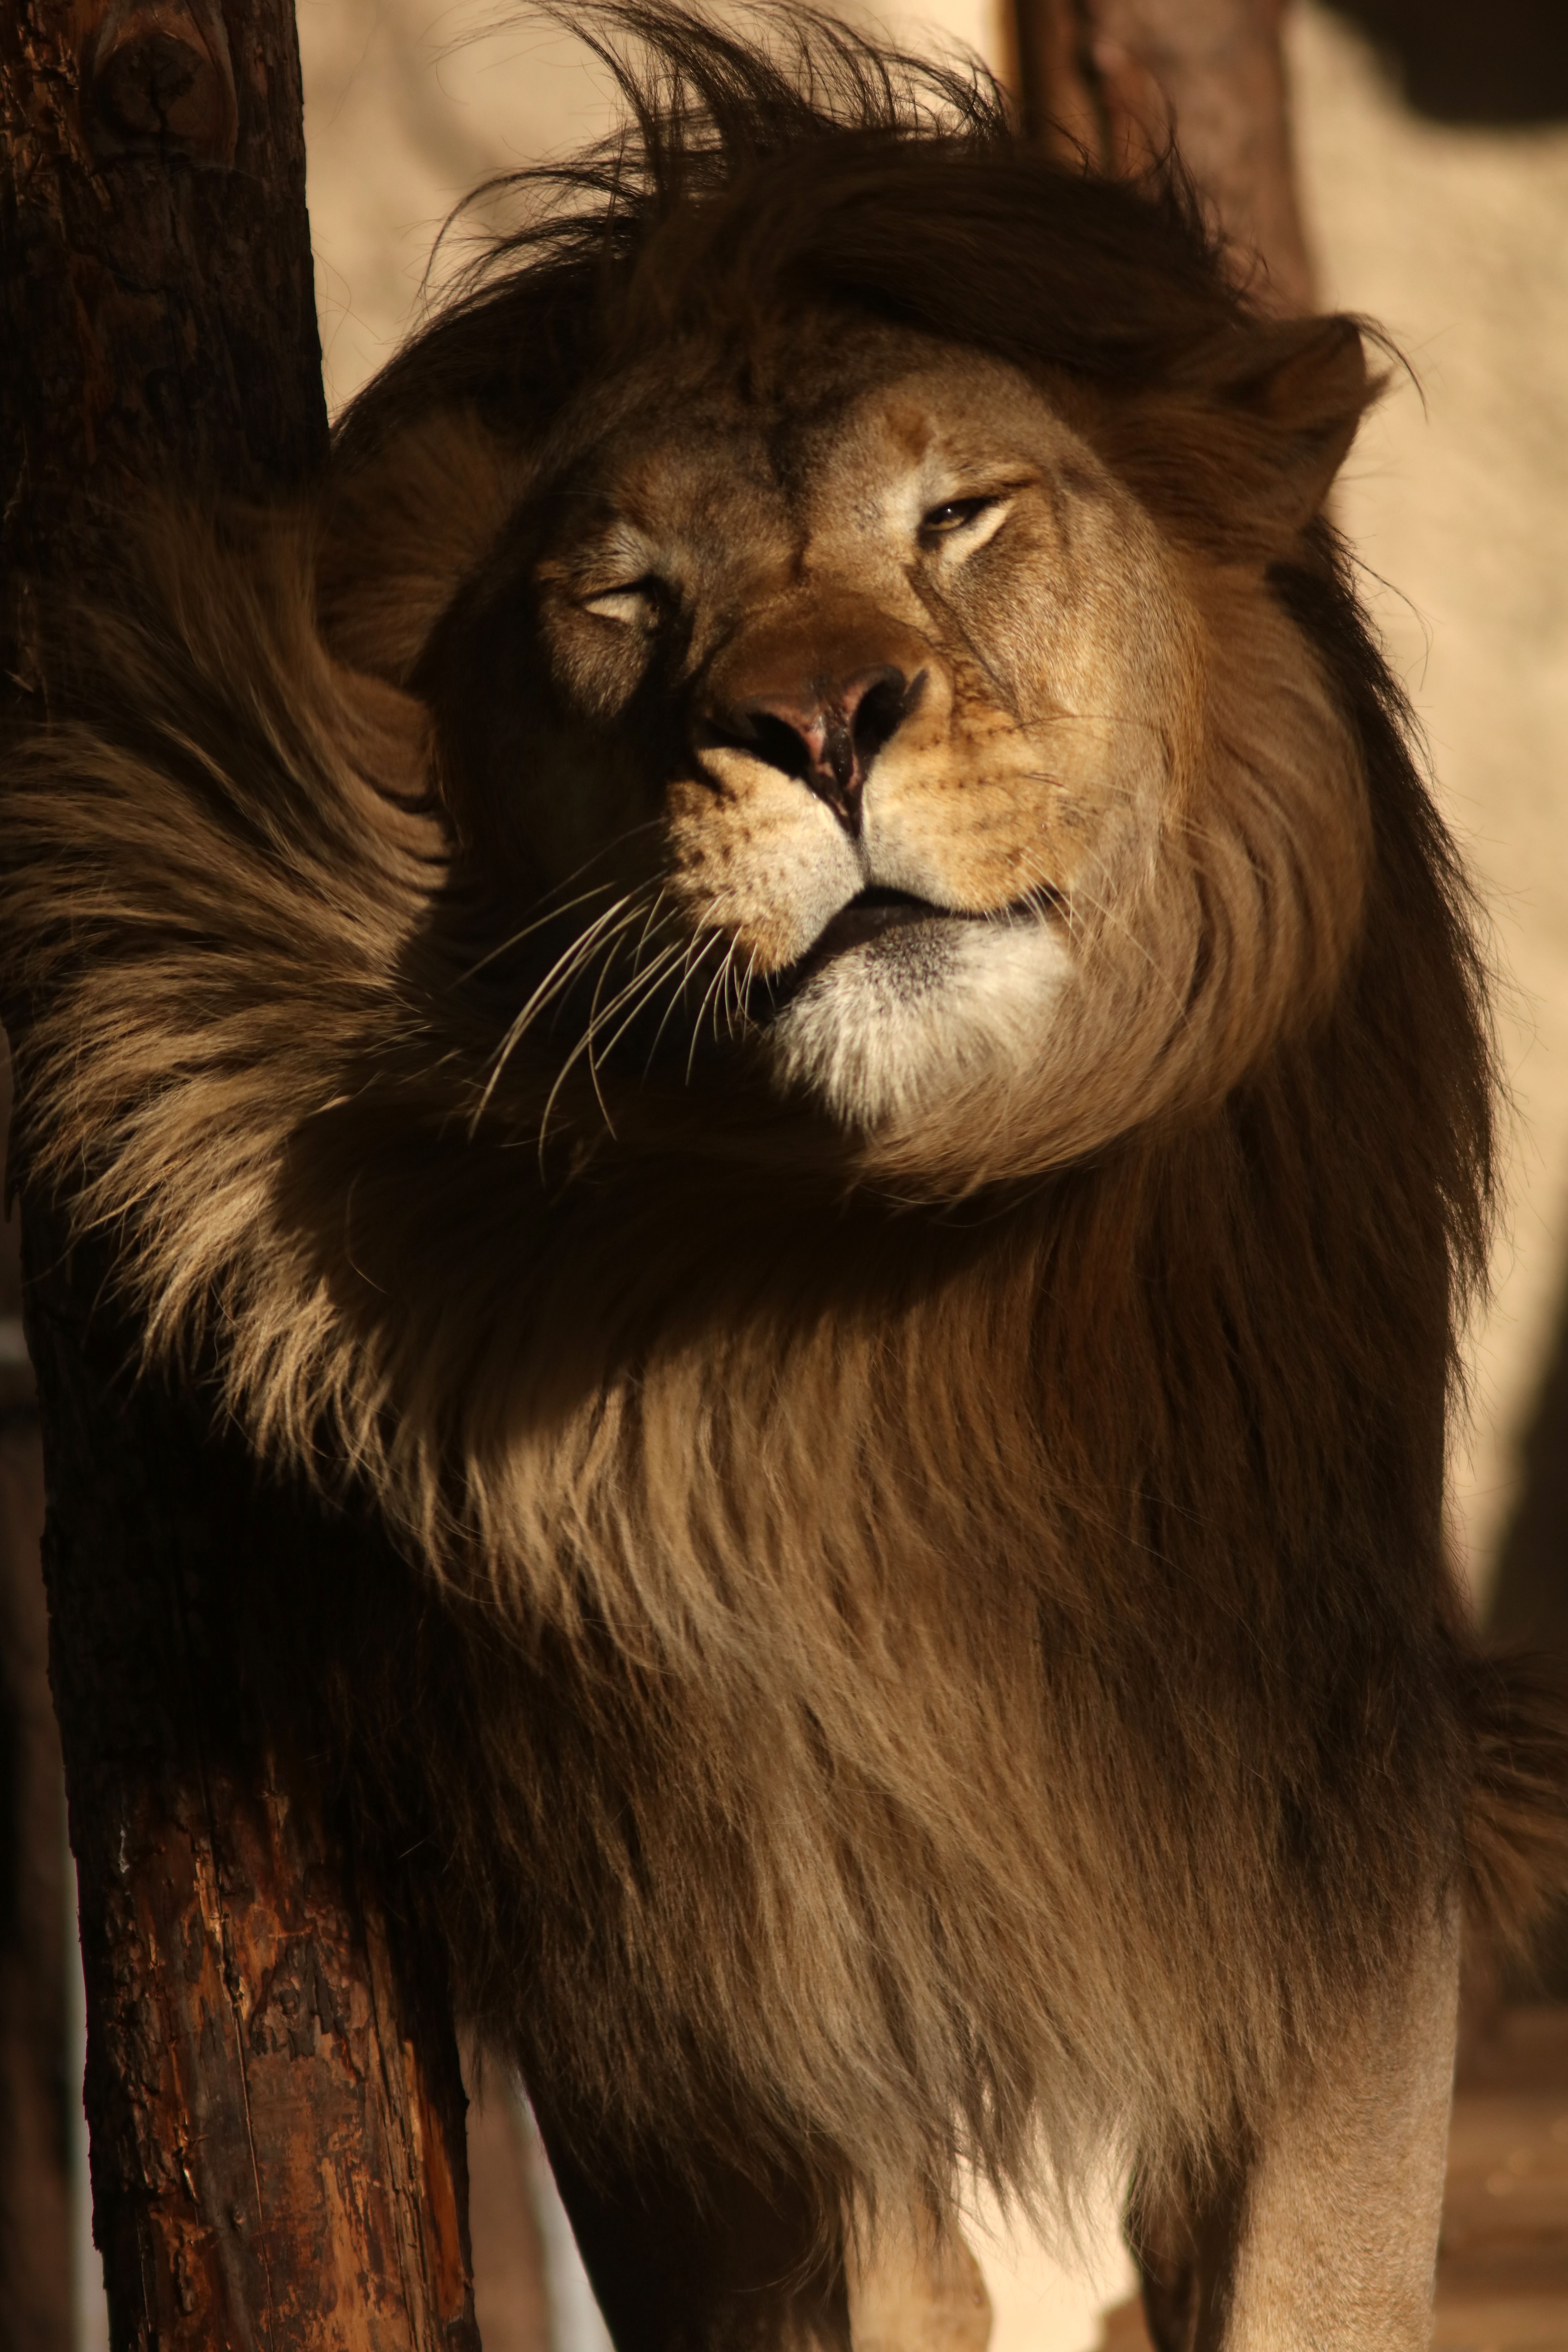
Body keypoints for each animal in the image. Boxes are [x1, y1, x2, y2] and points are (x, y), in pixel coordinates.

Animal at [4, 8, 1566, 2346]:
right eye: (621, 597)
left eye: (963, 516)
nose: (821, 720)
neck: (880, 1323)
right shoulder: (692, 1967)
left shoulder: (1321, 1828)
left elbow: (1311, 2275)